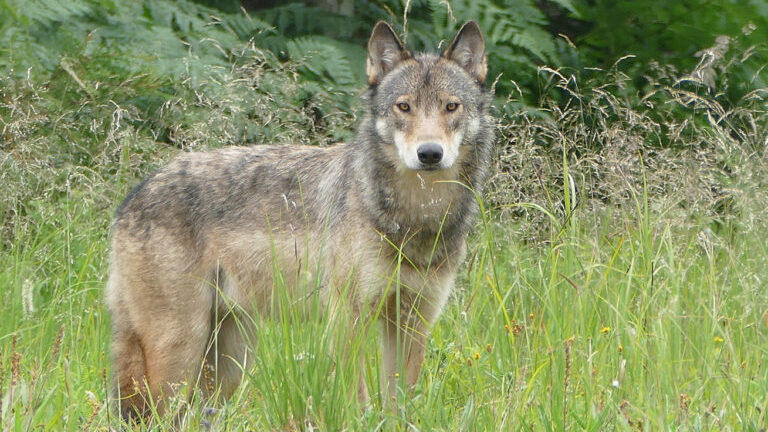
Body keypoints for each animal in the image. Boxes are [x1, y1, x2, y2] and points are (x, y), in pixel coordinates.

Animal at [106, 20, 494, 420]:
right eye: (404, 106)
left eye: (451, 106)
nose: (430, 153)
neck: (415, 218)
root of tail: (133, 196)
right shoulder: (347, 318)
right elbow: (356, 396)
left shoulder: (413, 322)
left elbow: (400, 403)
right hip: (181, 352)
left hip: (228, 364)